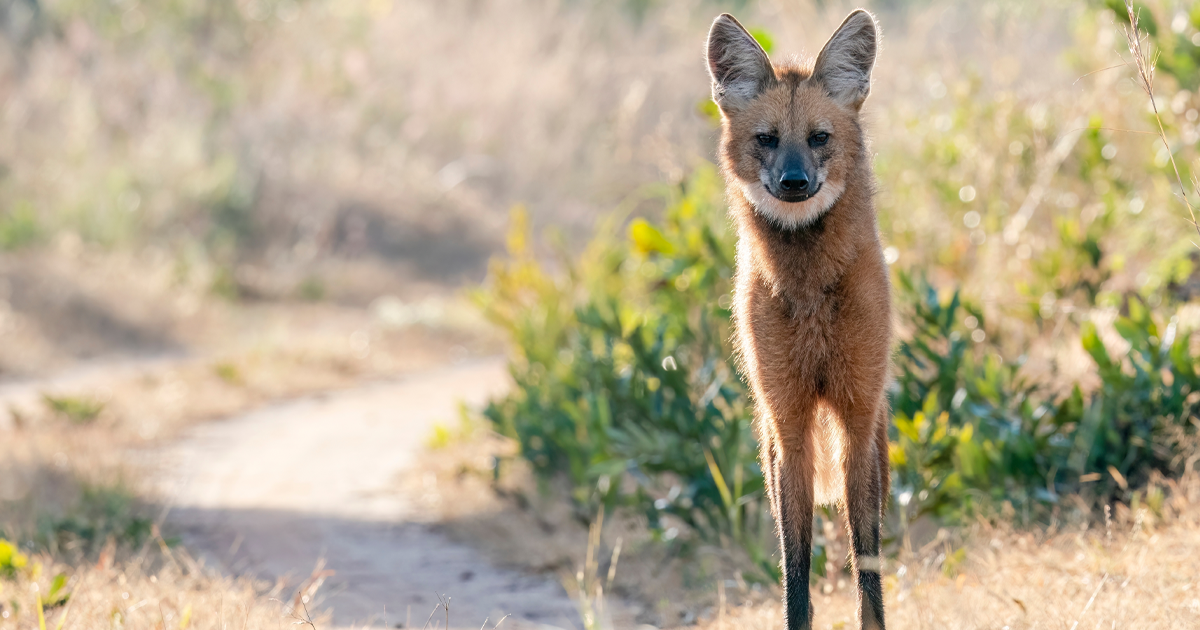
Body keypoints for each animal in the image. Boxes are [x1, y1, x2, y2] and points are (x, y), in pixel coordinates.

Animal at [705, 10, 891, 630]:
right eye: (767, 139)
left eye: (818, 138)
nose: (793, 183)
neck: (809, 288)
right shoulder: (788, 426)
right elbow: (796, 571)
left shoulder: (857, 417)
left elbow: (868, 567)